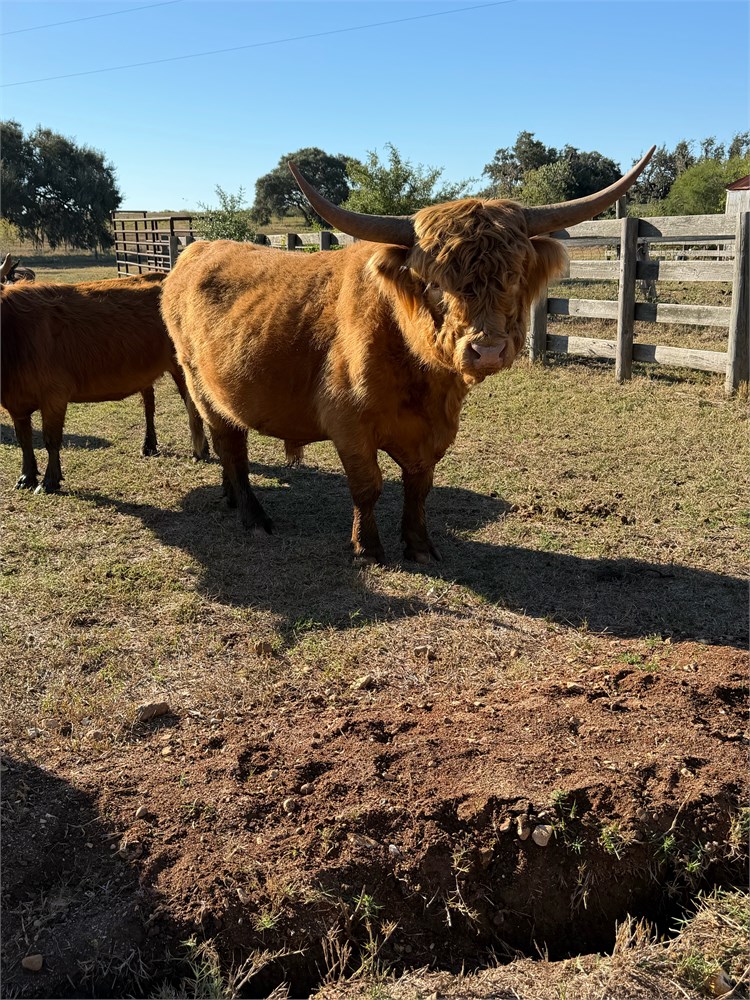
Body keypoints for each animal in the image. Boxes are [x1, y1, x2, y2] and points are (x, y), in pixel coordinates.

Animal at [1, 272, 209, 494]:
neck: (16, 334)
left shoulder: (54, 395)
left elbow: (51, 440)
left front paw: (50, 481)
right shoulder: (16, 403)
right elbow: (24, 440)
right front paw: (26, 477)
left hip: (183, 366)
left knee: (193, 404)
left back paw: (201, 450)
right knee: (149, 405)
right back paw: (149, 445)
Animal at [161, 147, 654, 563]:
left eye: (514, 276)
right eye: (434, 282)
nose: (488, 350)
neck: (423, 379)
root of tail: (196, 249)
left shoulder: (433, 434)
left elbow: (419, 488)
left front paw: (419, 547)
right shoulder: (349, 425)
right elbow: (368, 486)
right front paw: (368, 548)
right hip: (203, 387)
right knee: (232, 449)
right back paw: (253, 517)